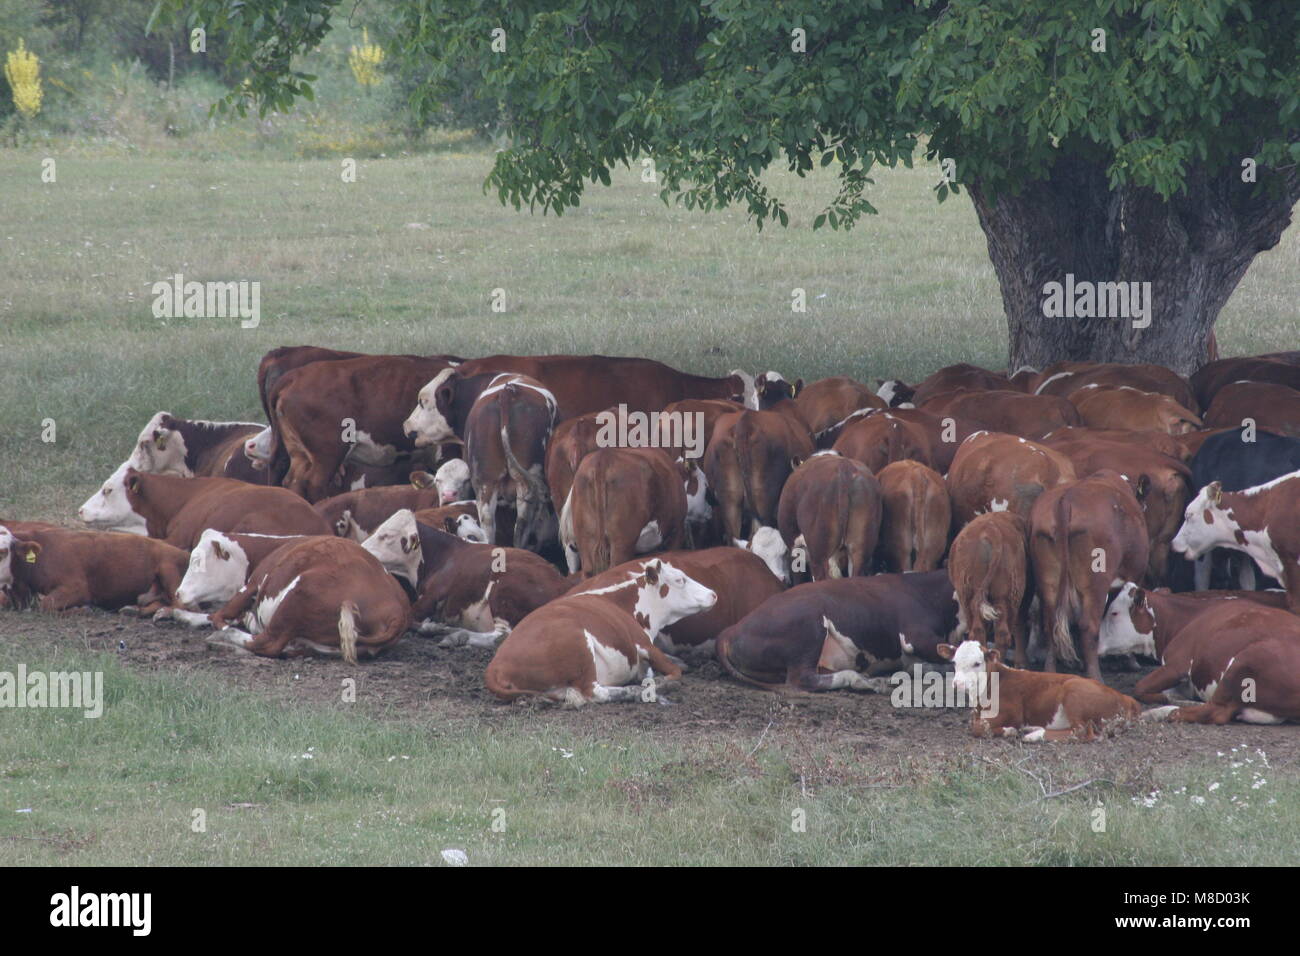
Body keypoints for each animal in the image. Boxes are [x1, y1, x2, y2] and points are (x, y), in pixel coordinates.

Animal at [1, 526, 189, 614]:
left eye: (3, 551)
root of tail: (183, 552)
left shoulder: (77, 586)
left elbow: (46, 604)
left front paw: (80, 610)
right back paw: (134, 609)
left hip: (168, 568)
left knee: (180, 605)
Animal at [360, 510, 568, 647]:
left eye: (386, 536)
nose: (361, 548)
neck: (444, 554)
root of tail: (559, 582)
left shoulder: (431, 596)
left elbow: (410, 617)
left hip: (503, 591)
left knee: (501, 636)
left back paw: (454, 635)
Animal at [484, 558, 717, 706]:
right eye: (680, 580)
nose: (713, 594)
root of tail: (495, 666)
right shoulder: (643, 644)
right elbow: (675, 673)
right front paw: (659, 683)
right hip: (579, 642)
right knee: (595, 692)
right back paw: (635, 692)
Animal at [937, 642, 1143, 741]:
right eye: (954, 662)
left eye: (977, 663)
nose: (958, 683)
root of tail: (1126, 698)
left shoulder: (1013, 713)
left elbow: (979, 727)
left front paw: (1009, 731)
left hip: (1074, 693)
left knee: (1082, 732)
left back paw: (1033, 735)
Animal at [1030, 471, 1150, 681]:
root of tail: (1066, 498)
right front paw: (1130, 660)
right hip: (1096, 583)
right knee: (1088, 625)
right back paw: (1095, 676)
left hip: (1049, 580)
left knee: (1050, 622)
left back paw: (1050, 671)